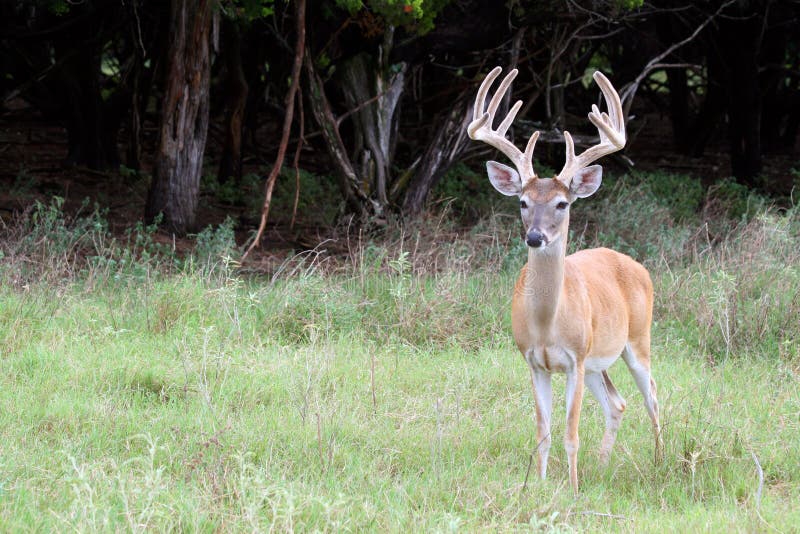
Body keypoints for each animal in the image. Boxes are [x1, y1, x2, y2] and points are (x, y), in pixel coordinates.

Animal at [467, 67, 661, 493]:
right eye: (523, 201)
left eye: (562, 203)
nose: (534, 236)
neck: (546, 324)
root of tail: (637, 267)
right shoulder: (534, 361)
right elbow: (544, 431)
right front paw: (537, 486)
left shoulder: (574, 358)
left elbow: (571, 433)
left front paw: (571, 491)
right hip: (597, 361)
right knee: (617, 403)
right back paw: (603, 468)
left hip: (636, 340)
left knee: (652, 396)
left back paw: (663, 459)